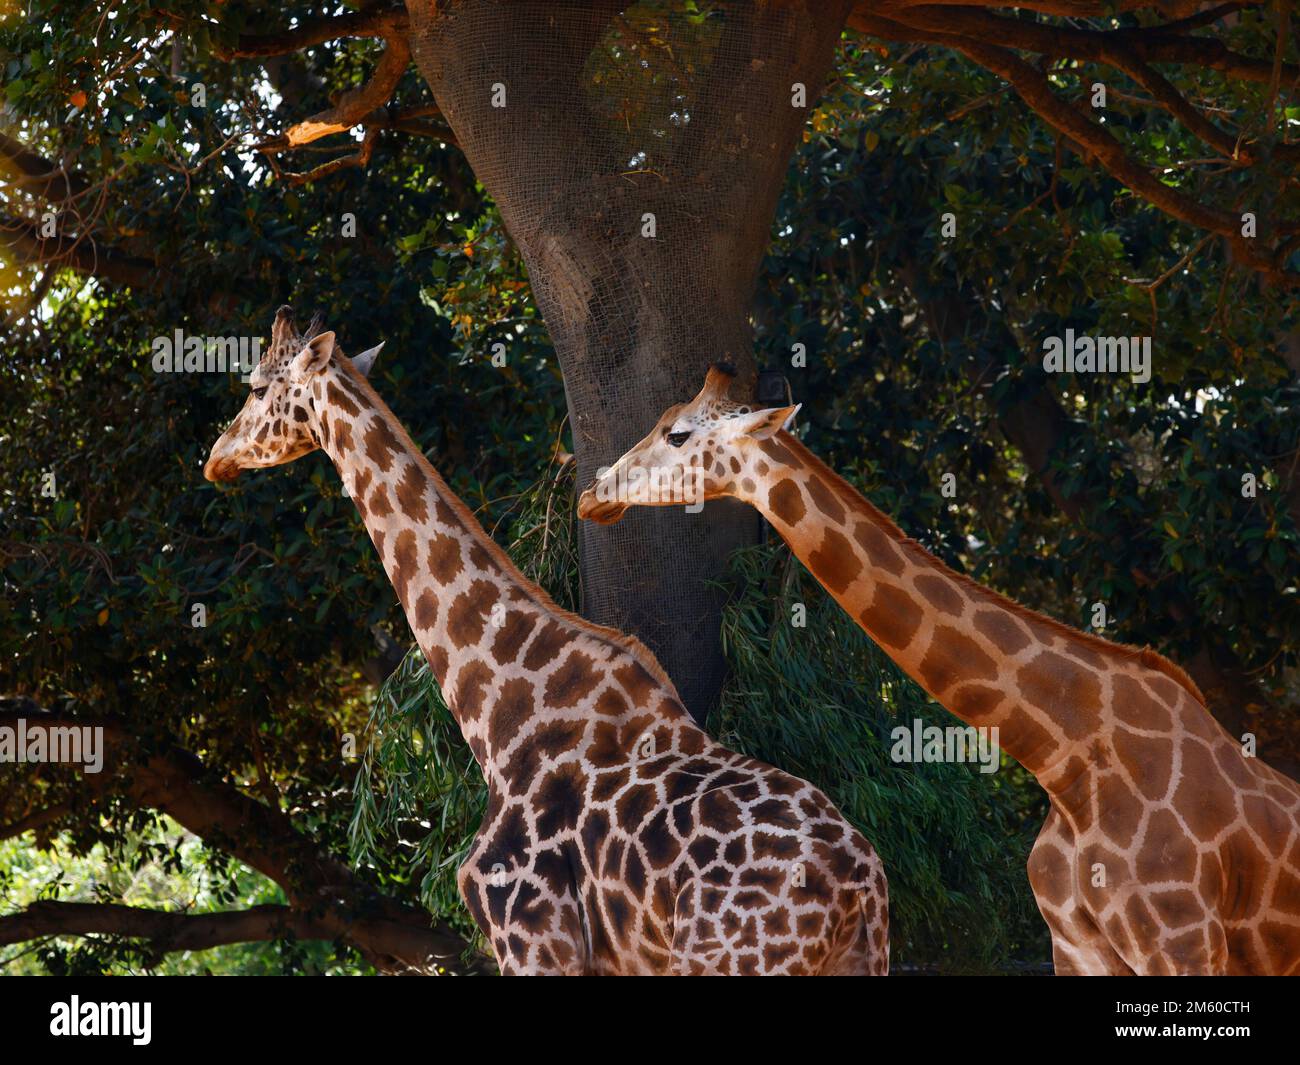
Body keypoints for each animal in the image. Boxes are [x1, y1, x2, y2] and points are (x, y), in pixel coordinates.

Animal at [202, 310, 888, 975]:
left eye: (256, 389)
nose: (215, 456)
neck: (498, 713)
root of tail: (858, 888)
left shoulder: (530, 937)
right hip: (854, 960)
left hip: (732, 961)